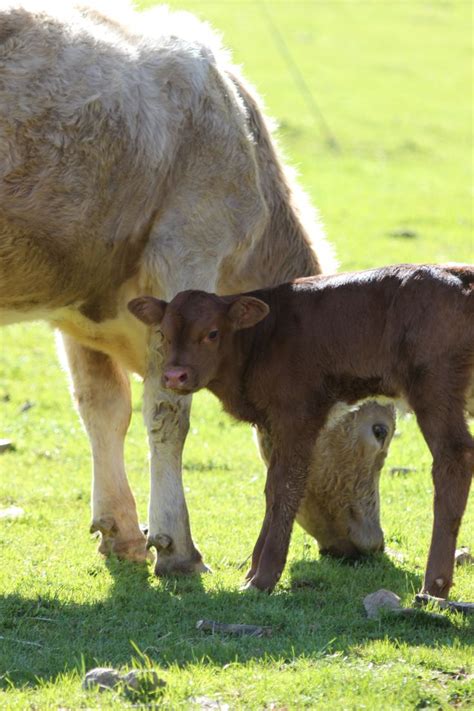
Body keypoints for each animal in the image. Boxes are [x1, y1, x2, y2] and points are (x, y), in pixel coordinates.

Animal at [0, 1, 394, 574]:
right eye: (381, 431)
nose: (374, 543)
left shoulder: (82, 301)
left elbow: (102, 408)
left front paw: (122, 533)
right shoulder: (187, 256)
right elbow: (168, 411)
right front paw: (176, 548)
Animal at [128, 264, 474, 596]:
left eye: (212, 333)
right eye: (163, 334)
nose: (174, 376)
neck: (260, 340)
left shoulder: (298, 416)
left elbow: (286, 486)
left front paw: (263, 577)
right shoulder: (274, 423)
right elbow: (272, 488)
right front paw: (253, 572)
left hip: (434, 388)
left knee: (454, 459)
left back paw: (434, 586)